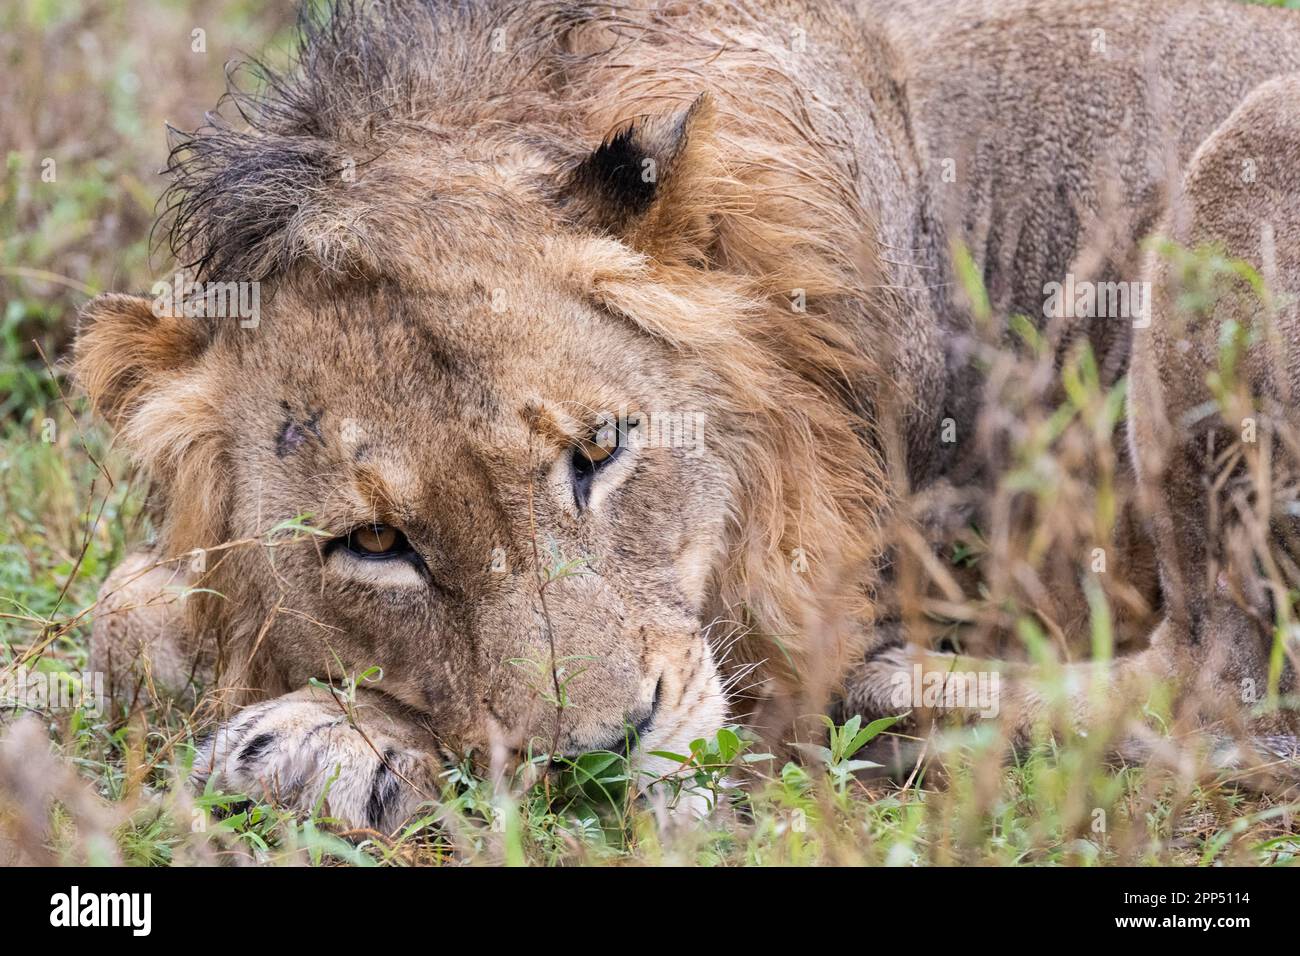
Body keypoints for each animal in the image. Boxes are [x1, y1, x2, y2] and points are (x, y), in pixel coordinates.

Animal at [74, 0, 1300, 830]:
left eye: (601, 449)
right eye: (373, 543)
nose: (604, 754)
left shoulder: (821, 573)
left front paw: (317, 743)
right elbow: (120, 611)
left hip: (1232, 165)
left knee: (1217, 687)